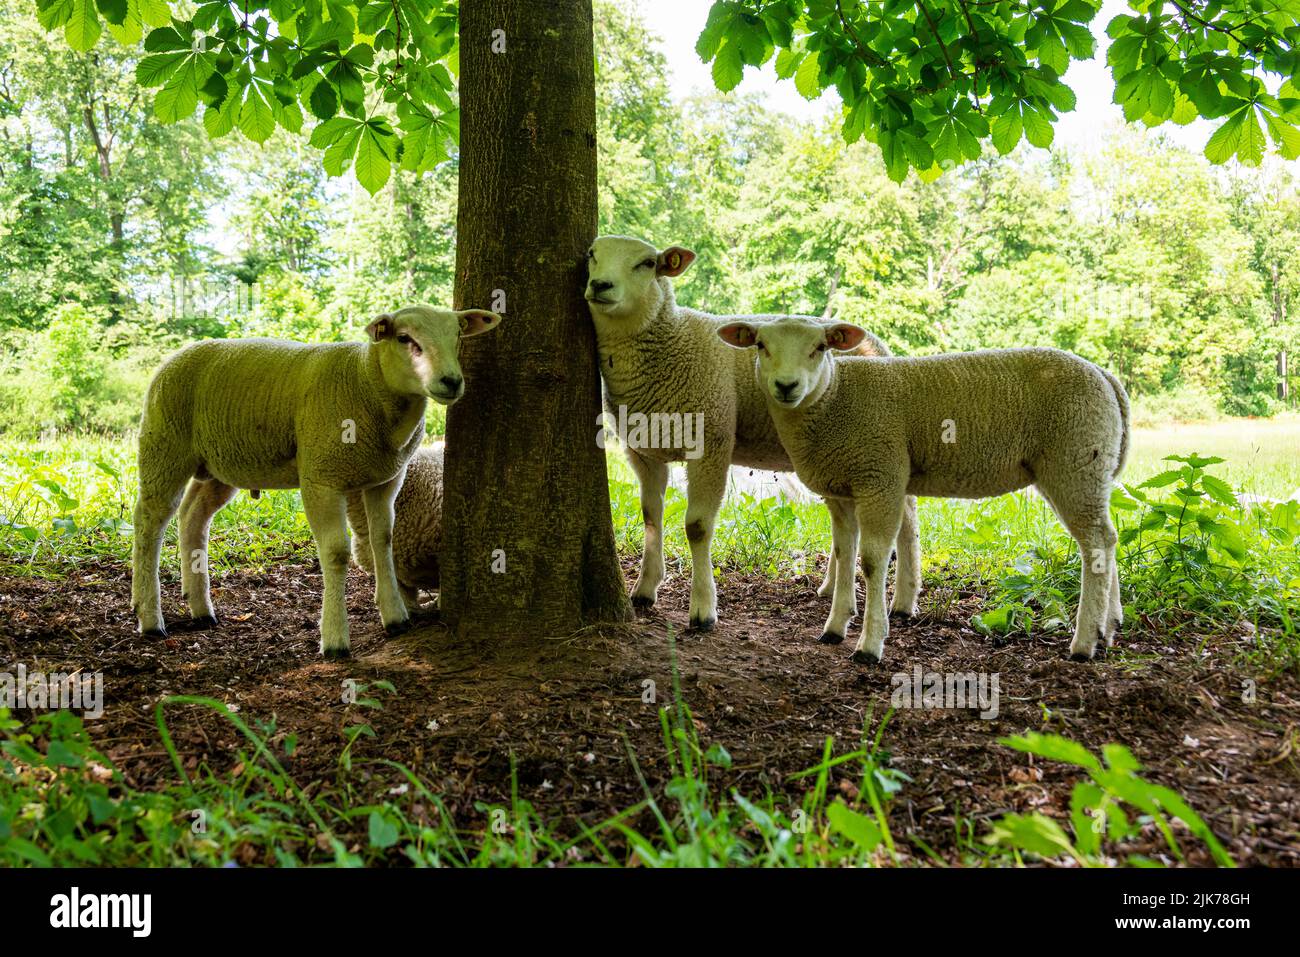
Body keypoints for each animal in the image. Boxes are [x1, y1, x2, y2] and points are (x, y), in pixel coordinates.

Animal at [585, 235, 920, 632]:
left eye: (647, 263)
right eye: (591, 255)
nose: (599, 285)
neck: (670, 342)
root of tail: (876, 343)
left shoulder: (711, 440)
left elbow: (697, 526)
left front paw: (703, 609)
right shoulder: (643, 450)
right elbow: (650, 515)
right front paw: (645, 589)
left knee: (907, 517)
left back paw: (904, 599)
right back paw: (832, 589)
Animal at [718, 316, 1130, 664]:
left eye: (819, 347)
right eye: (760, 345)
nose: (786, 386)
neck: (835, 399)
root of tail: (1105, 376)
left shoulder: (880, 476)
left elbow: (871, 561)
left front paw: (870, 645)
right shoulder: (841, 489)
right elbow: (843, 553)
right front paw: (835, 627)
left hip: (1074, 462)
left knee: (1096, 543)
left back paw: (1084, 642)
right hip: (1085, 470)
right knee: (1107, 539)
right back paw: (1107, 628)